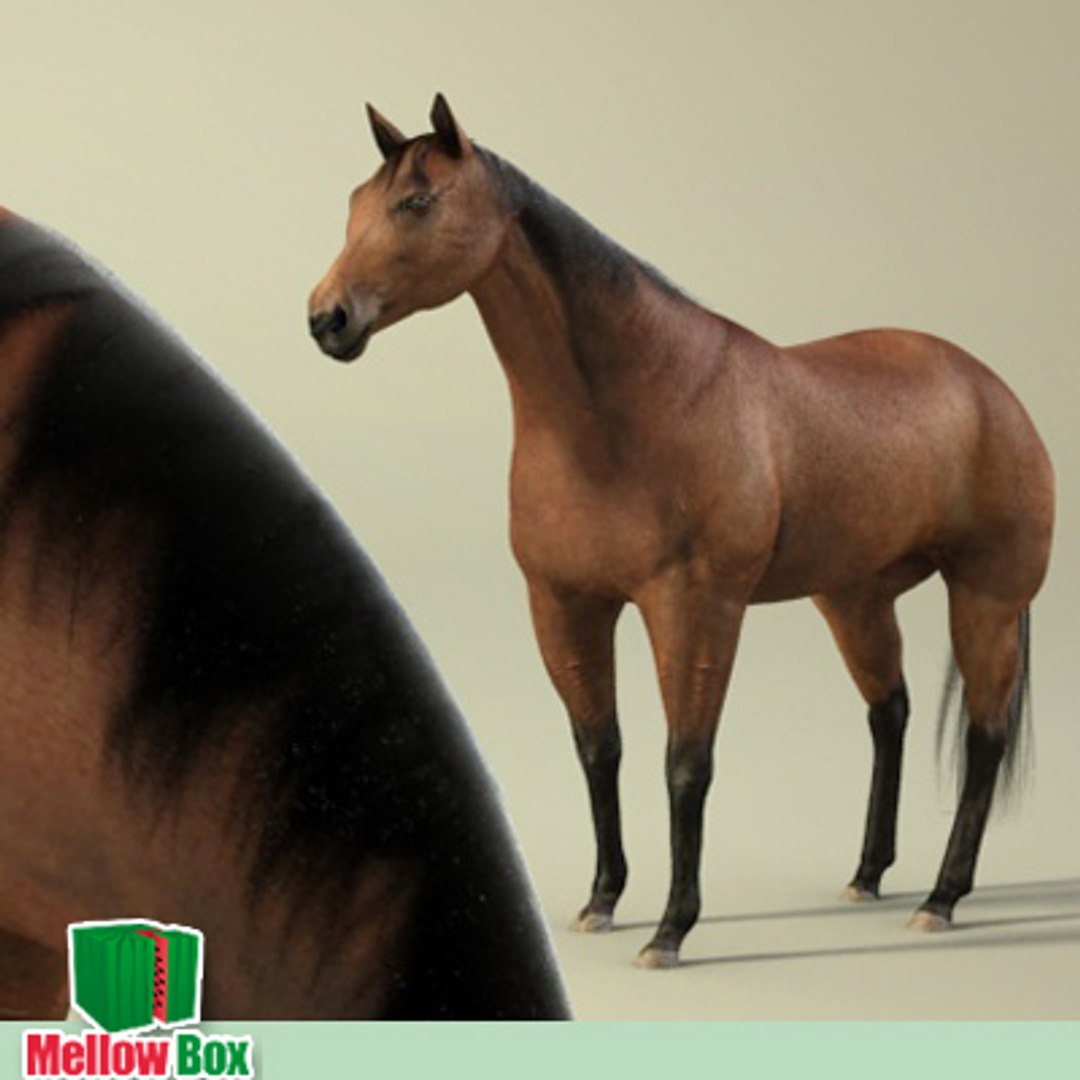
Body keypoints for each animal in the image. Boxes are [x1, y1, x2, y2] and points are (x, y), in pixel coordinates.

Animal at [308, 95, 1055, 970]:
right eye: (356, 202)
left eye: (416, 202)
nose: (327, 318)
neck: (637, 403)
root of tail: (991, 389)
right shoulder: (564, 605)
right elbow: (599, 749)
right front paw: (602, 901)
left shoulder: (694, 609)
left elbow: (685, 764)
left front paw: (670, 929)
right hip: (854, 598)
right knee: (889, 714)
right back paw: (868, 876)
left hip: (985, 599)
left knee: (983, 735)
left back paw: (941, 899)